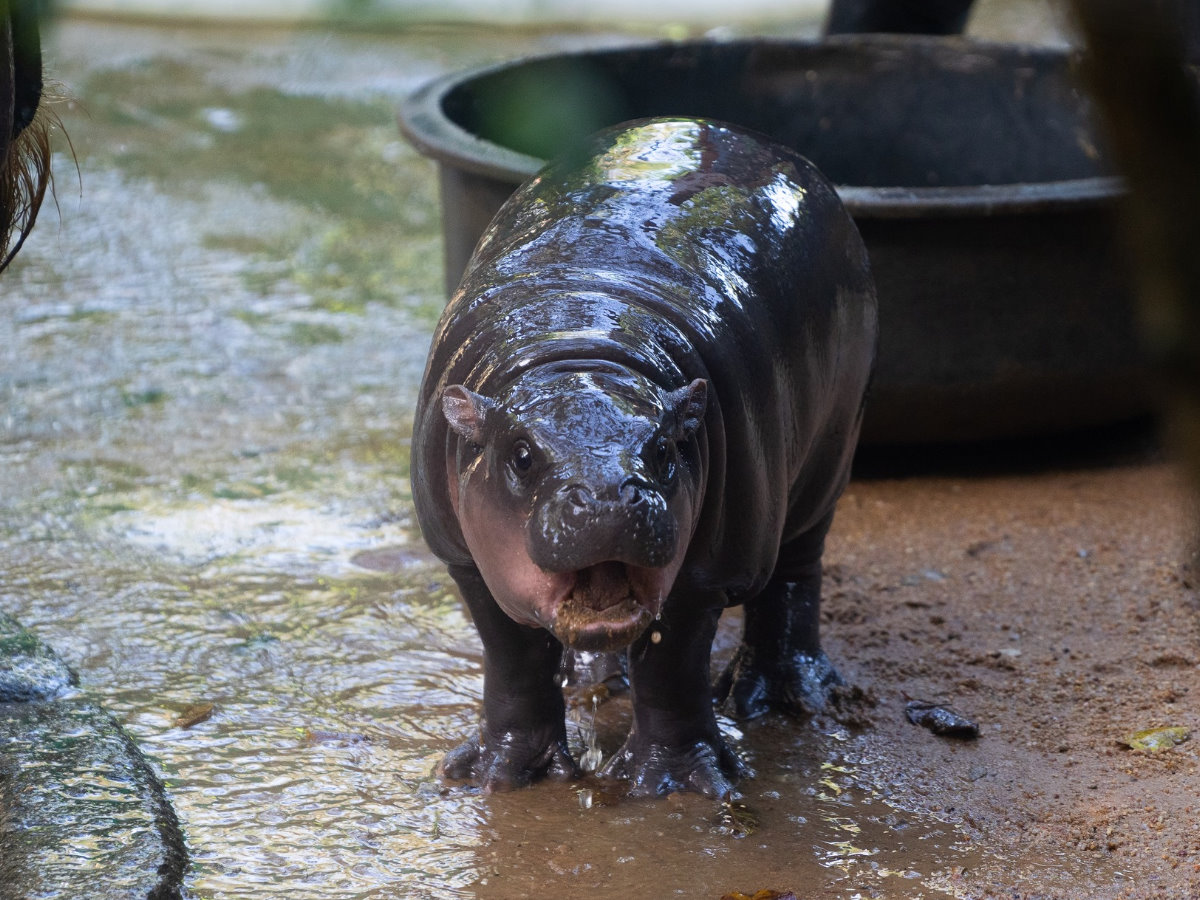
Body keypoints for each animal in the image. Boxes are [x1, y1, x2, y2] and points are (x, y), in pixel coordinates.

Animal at [410, 117, 877, 797]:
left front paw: (674, 783)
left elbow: (674, 664)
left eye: (663, 448)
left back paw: (776, 695)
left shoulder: (709, 572)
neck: (581, 343)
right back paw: (594, 682)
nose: (609, 495)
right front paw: (494, 774)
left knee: (796, 572)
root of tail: (758, 141)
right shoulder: (465, 561)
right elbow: (512, 662)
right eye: (520, 454)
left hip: (827, 457)